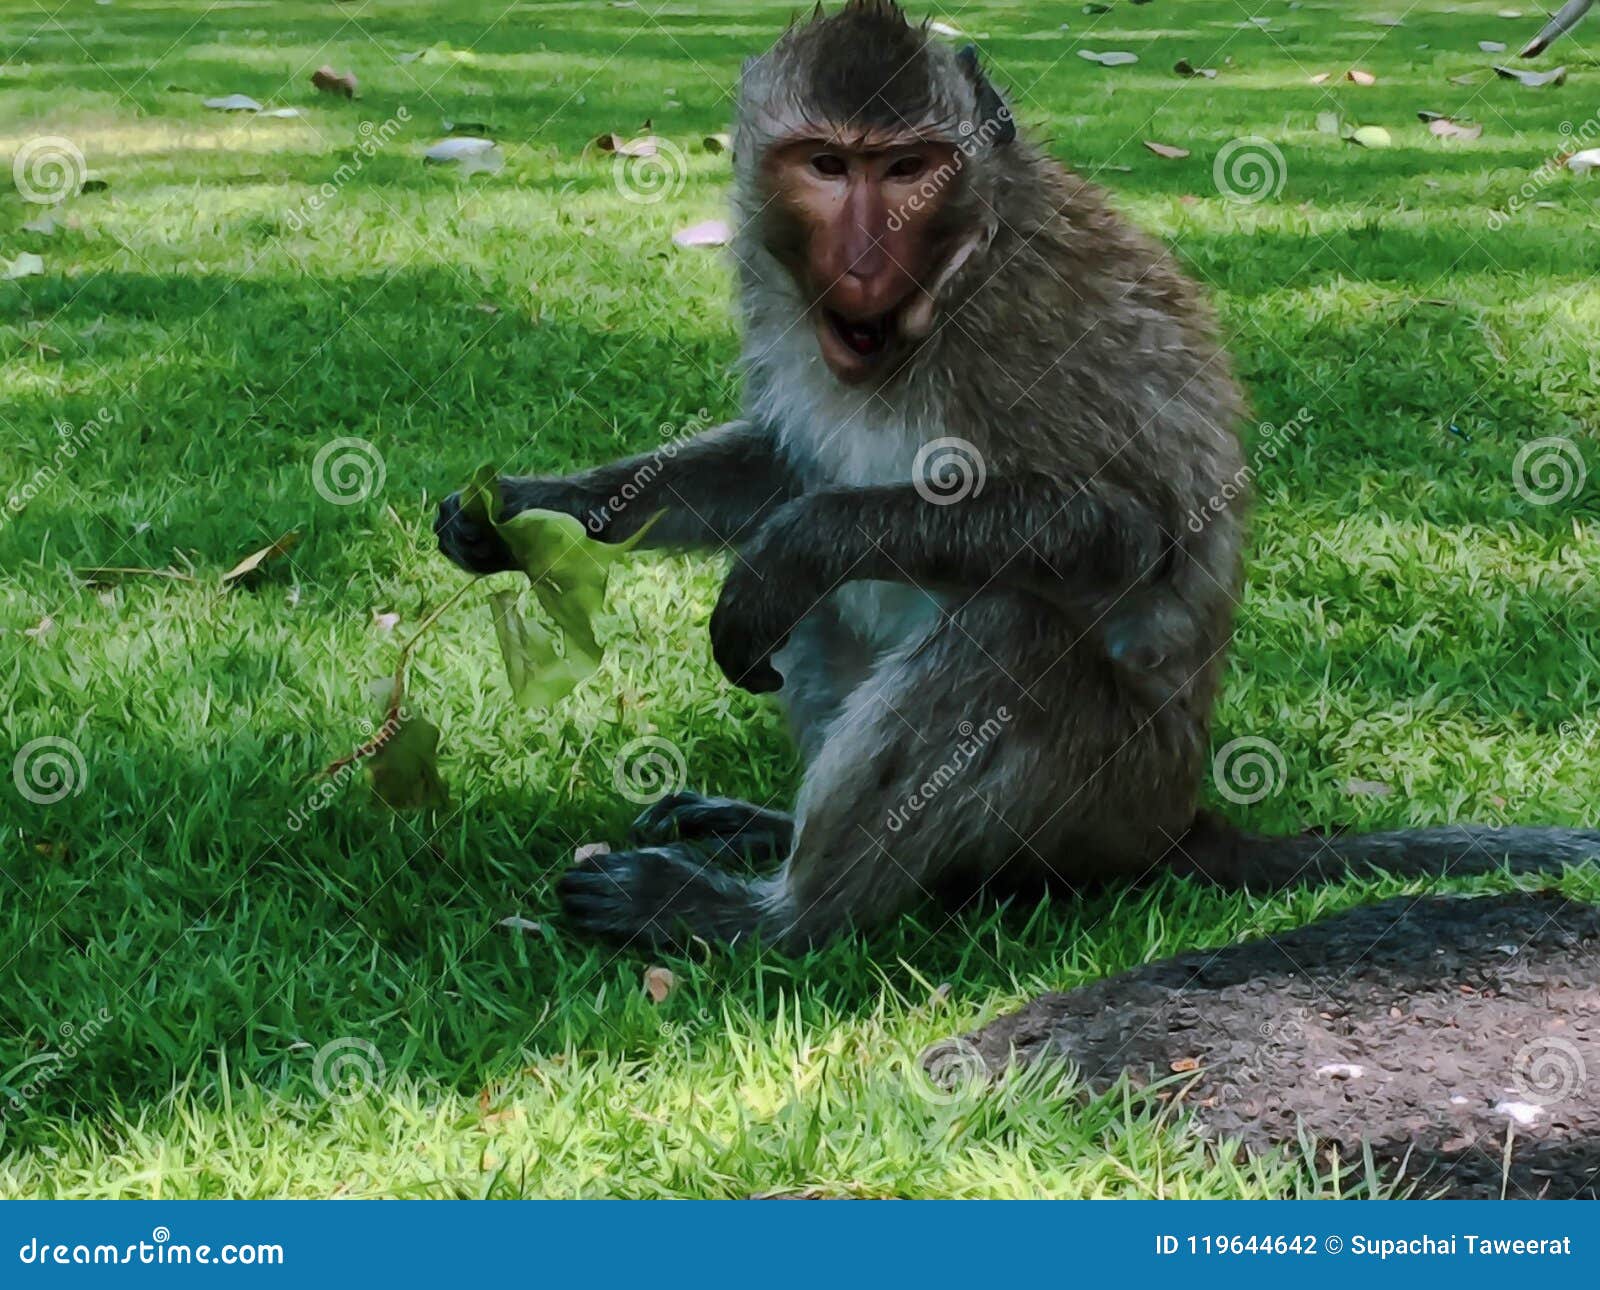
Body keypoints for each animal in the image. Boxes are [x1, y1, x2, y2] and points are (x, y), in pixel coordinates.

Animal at [436, 1, 1600, 952]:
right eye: (828, 166)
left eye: (909, 169)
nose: (864, 261)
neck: (943, 283)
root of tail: (1180, 822)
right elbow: (781, 464)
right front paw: (526, 511)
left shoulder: (1022, 322)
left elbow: (1123, 527)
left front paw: (796, 544)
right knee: (824, 612)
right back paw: (764, 833)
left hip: (1098, 797)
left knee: (1004, 634)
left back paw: (770, 915)